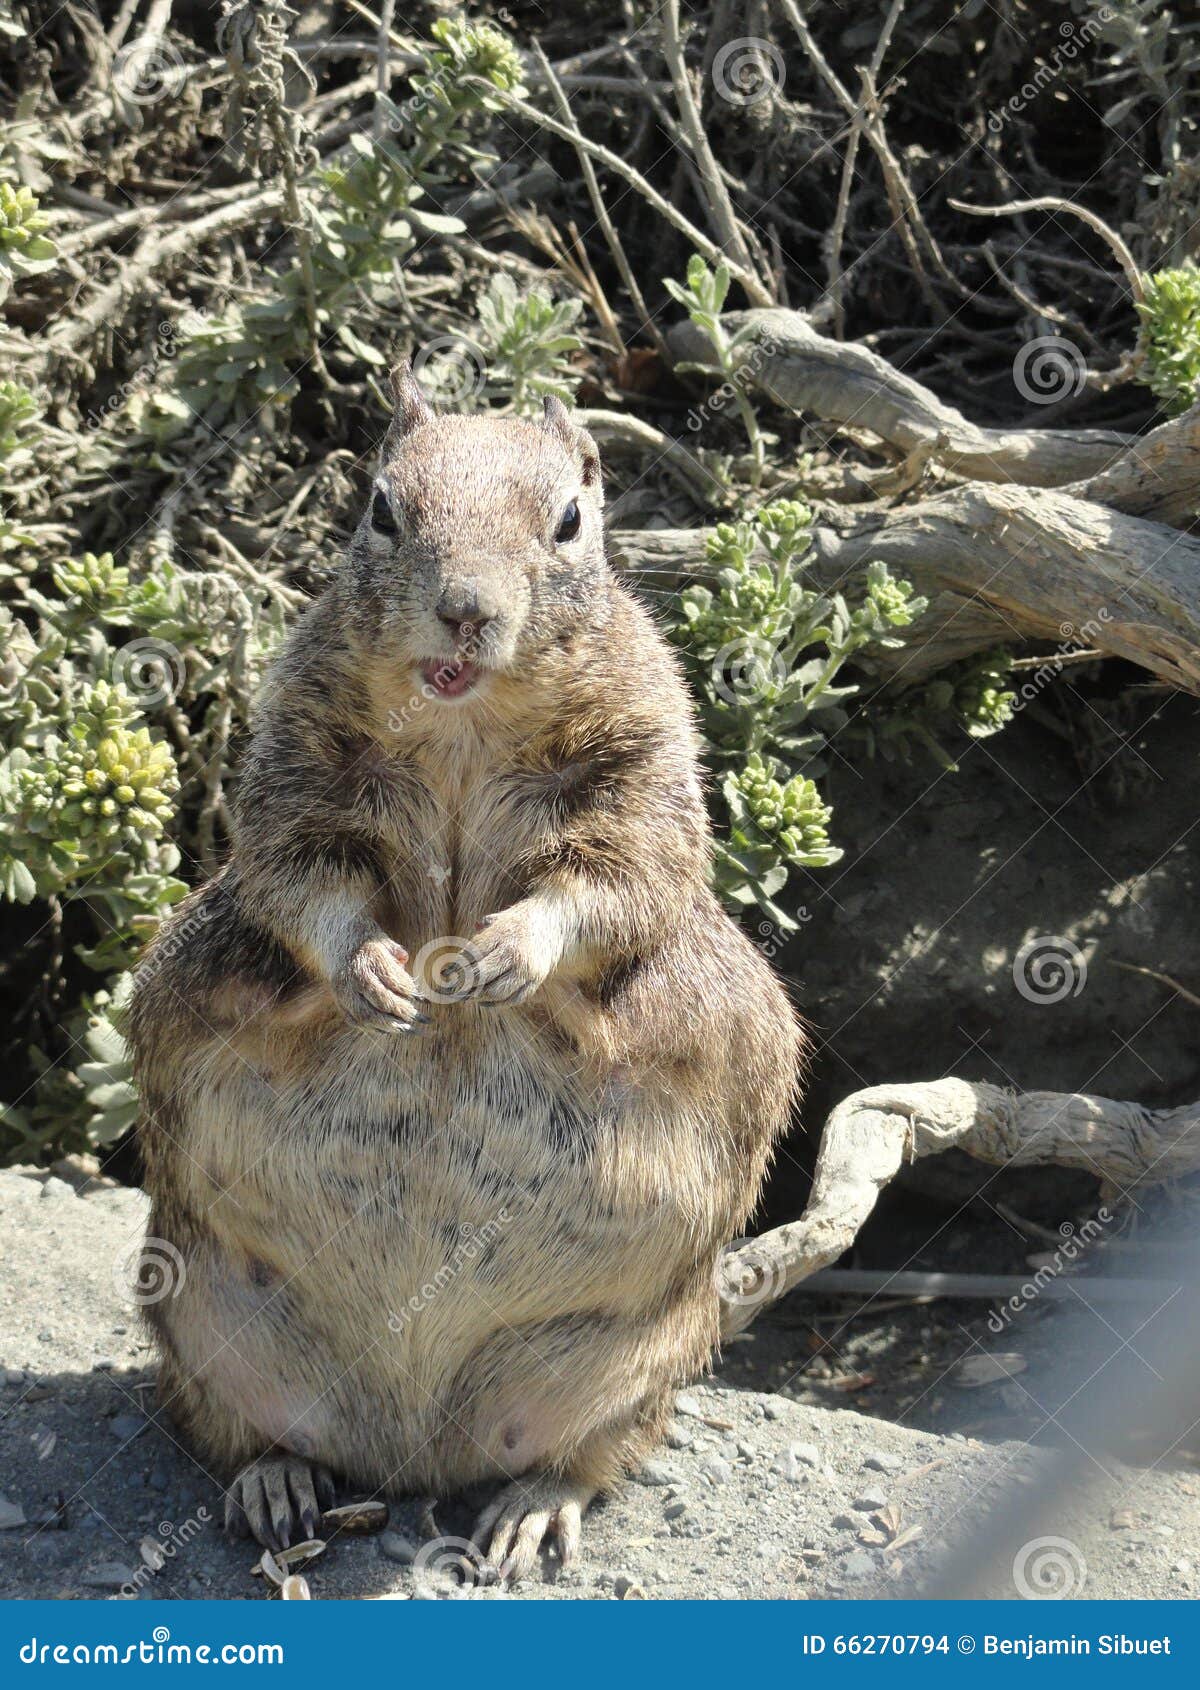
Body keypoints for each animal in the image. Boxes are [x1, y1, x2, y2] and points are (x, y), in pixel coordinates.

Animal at [127, 367, 804, 1581]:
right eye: (382, 508)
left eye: (573, 520)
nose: (466, 610)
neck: (462, 724)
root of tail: (411, 1449)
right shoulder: (291, 782)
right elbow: (298, 878)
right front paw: (377, 972)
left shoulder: (643, 778)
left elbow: (620, 879)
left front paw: (502, 952)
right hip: (194, 1319)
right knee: (238, 1430)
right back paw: (277, 1484)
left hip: (645, 1363)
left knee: (593, 1455)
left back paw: (528, 1512)